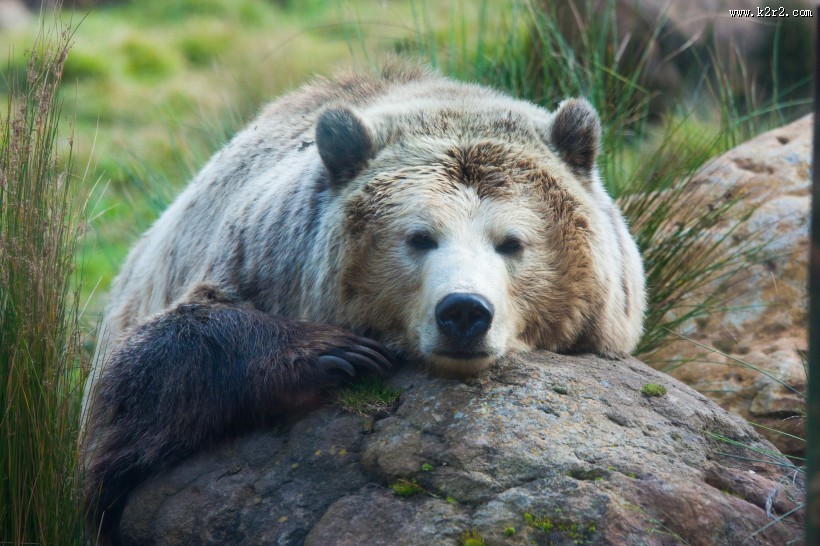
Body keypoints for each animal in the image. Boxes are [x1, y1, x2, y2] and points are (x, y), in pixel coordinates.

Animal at [81, 62, 646, 540]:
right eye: (420, 238)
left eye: (511, 242)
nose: (463, 311)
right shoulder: (252, 261)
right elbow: (137, 379)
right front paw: (336, 353)